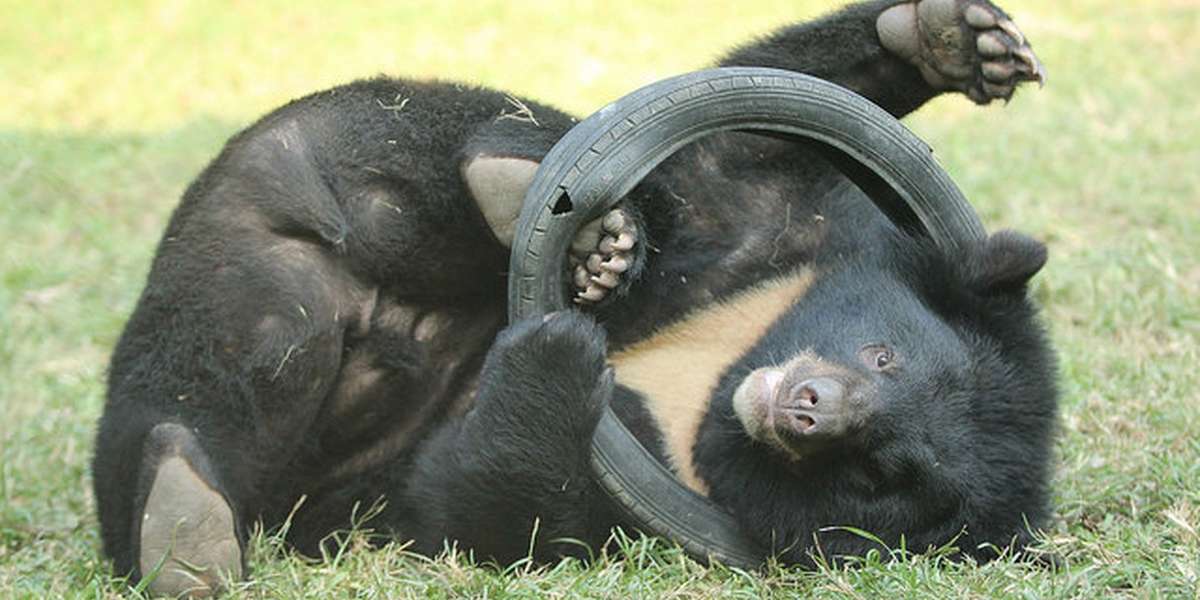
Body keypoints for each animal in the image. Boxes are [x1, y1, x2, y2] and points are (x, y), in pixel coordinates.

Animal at [91, 0, 1055, 596]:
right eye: (881, 353)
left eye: (881, 473)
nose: (807, 407)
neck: (720, 372)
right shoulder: (783, 231)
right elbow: (739, 138)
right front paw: (959, 39)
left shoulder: (658, 500)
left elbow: (481, 504)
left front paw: (557, 359)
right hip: (285, 174)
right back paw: (545, 205)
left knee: (206, 373)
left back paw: (184, 531)